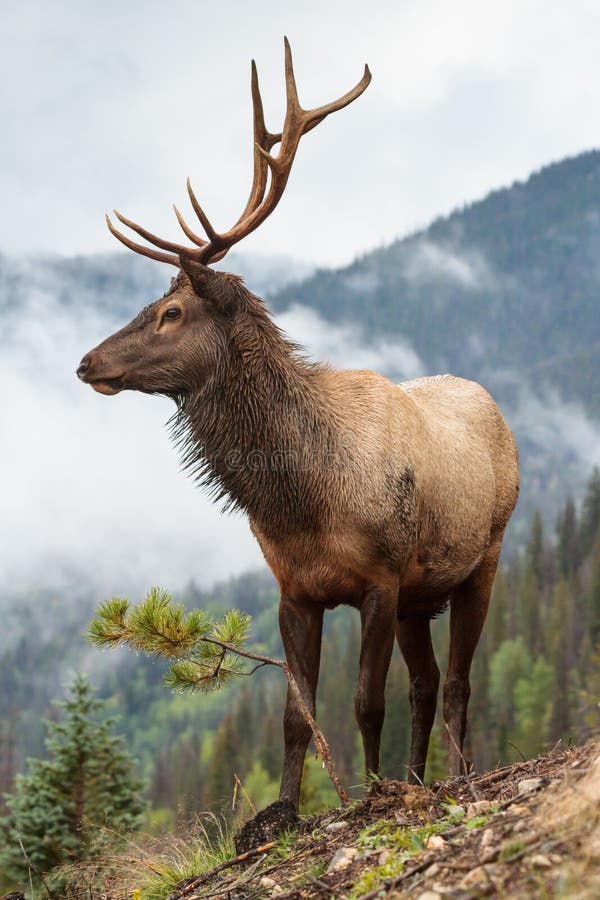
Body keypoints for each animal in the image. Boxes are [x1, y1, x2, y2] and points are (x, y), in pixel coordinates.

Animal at [77, 39, 519, 810]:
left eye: (171, 313)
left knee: (458, 681)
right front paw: (284, 809)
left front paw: (365, 795)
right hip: (422, 594)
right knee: (428, 683)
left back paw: (454, 776)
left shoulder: (379, 580)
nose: (87, 361)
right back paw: (417, 777)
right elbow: (295, 715)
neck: (302, 497)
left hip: (482, 557)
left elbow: (364, 702)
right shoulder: (296, 591)